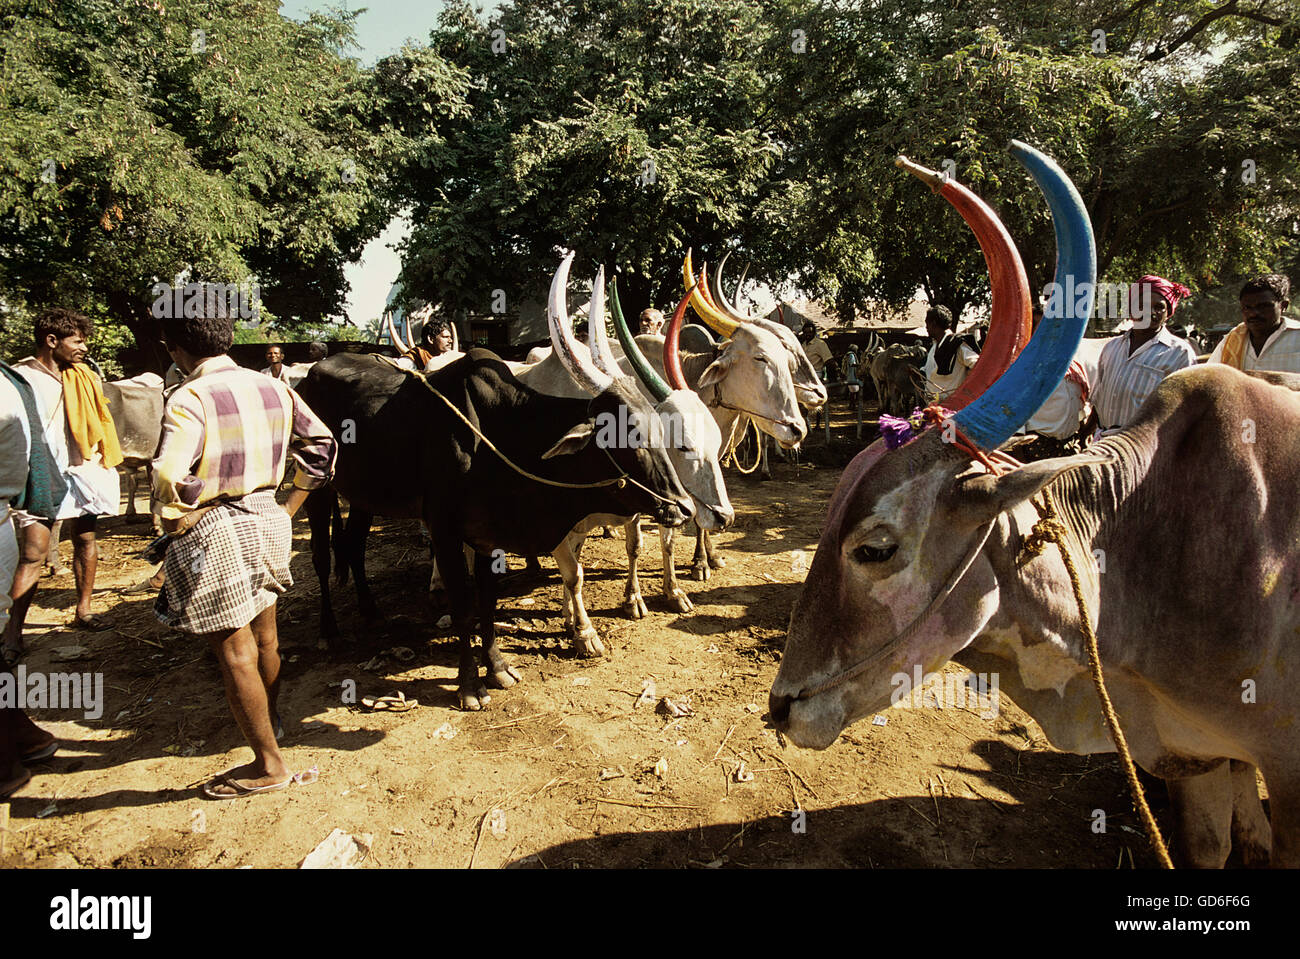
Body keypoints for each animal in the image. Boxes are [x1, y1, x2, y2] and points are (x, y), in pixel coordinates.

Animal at [298, 254, 695, 709]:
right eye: (626, 436)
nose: (683, 507)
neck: (497, 434)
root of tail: (309, 374)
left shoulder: (489, 535)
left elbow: (487, 602)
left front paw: (498, 667)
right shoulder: (445, 530)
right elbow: (463, 603)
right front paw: (469, 684)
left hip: (363, 497)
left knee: (354, 545)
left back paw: (369, 610)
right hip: (318, 489)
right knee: (322, 555)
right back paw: (328, 629)